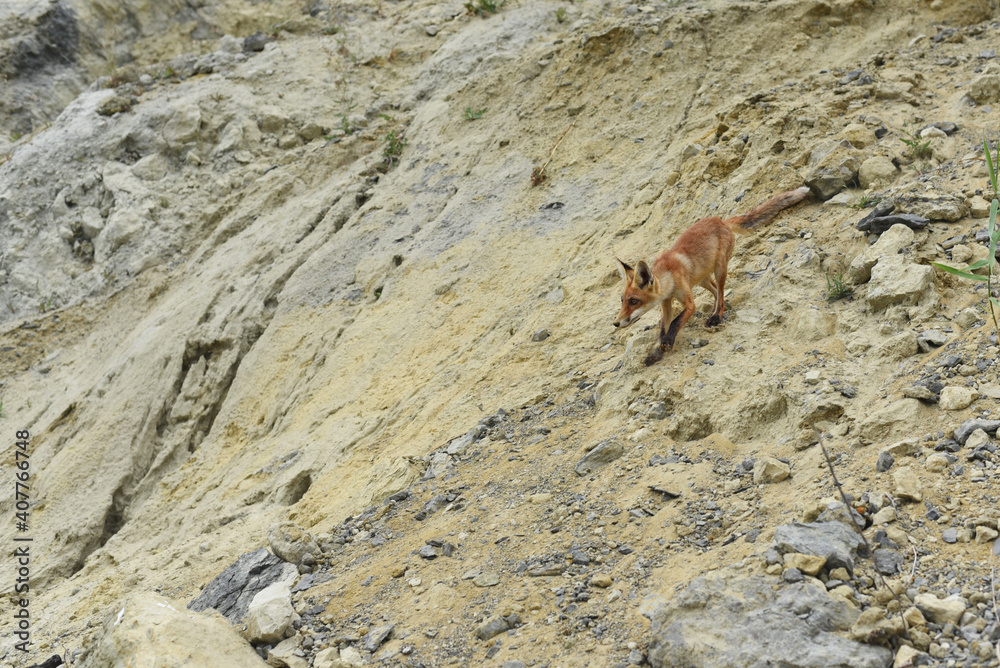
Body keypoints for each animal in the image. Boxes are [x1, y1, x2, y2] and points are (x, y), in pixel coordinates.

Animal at [614, 186, 811, 366]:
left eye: (634, 301)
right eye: (623, 300)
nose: (616, 323)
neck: (669, 276)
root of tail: (721, 220)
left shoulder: (689, 302)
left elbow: (677, 321)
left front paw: (668, 341)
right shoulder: (666, 303)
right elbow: (663, 327)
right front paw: (657, 351)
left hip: (720, 269)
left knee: (721, 295)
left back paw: (716, 316)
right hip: (702, 279)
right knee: (717, 293)